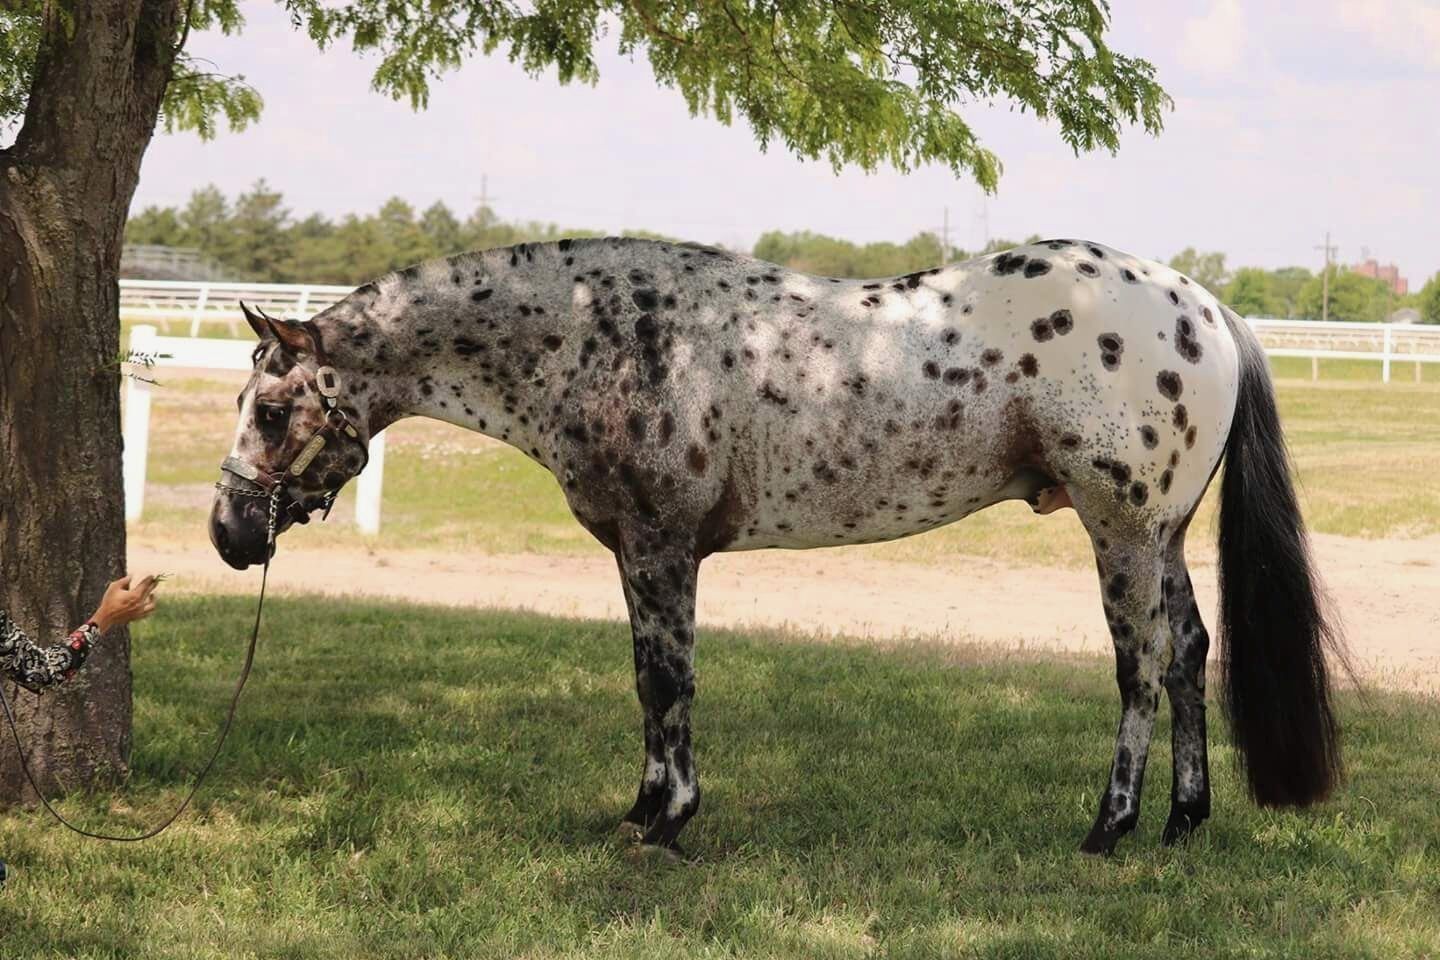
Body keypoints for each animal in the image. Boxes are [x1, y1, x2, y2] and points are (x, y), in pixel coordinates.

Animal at [208, 237, 1342, 857]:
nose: (227, 534)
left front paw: (669, 819)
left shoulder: (660, 546)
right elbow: (648, 681)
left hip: (1121, 531)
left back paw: (1109, 829)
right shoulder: (638, 554)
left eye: (272, 408)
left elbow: (667, 682)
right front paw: (641, 810)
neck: (601, 336)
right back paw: (1184, 822)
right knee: (1189, 656)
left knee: (1139, 668)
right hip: (1165, 534)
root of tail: (1206, 310)